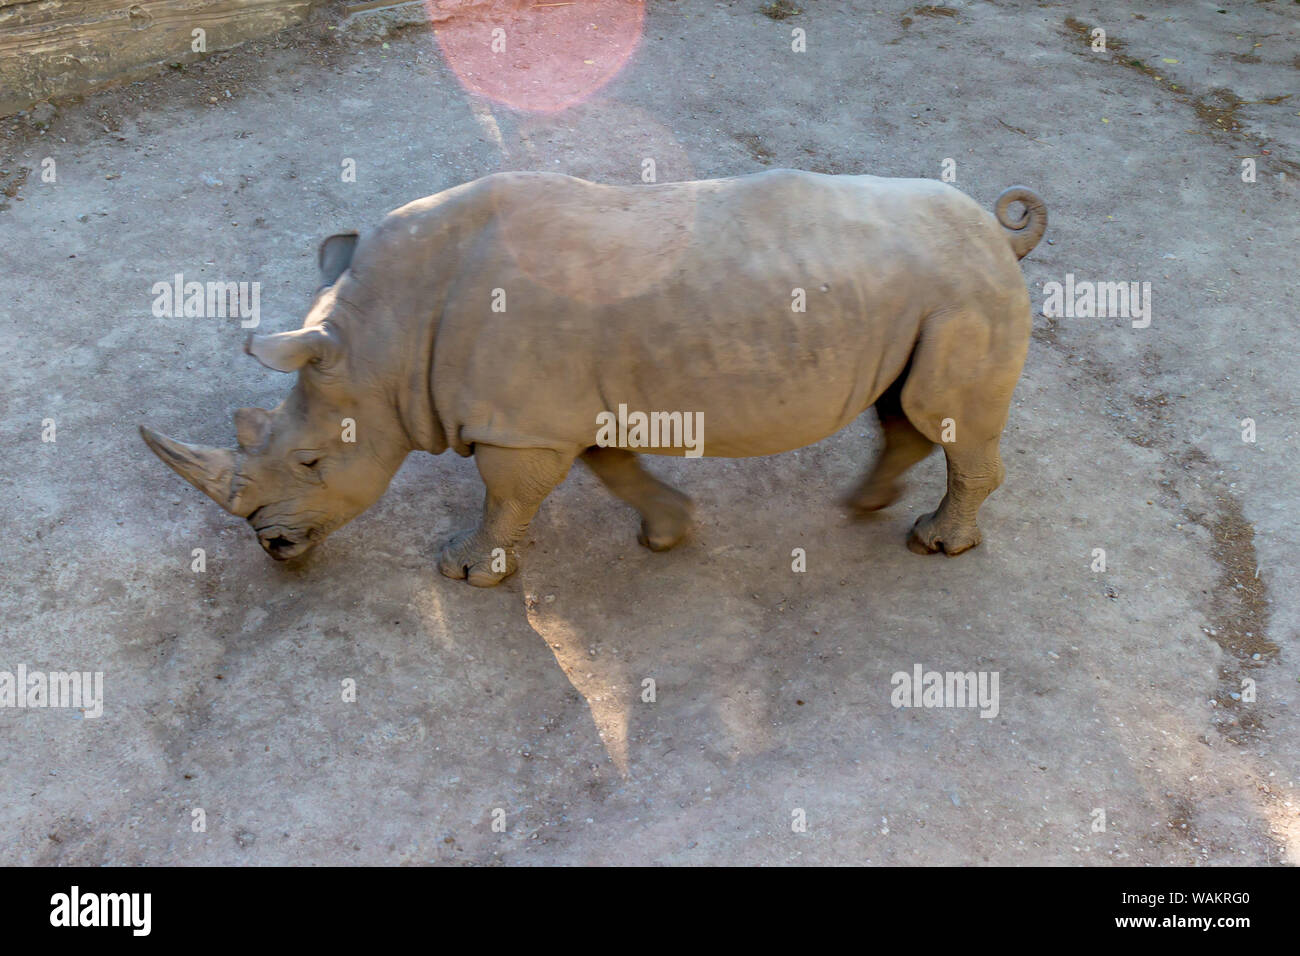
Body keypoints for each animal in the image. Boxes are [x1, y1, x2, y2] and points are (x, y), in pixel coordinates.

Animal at [141, 170, 1046, 586]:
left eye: (310, 462)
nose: (274, 548)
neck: (381, 342)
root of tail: (1000, 234)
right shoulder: (570, 408)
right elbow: (612, 471)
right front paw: (668, 533)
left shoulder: (520, 421)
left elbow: (507, 495)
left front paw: (465, 573)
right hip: (928, 296)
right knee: (906, 409)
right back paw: (863, 504)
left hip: (964, 291)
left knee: (942, 413)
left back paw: (932, 544)